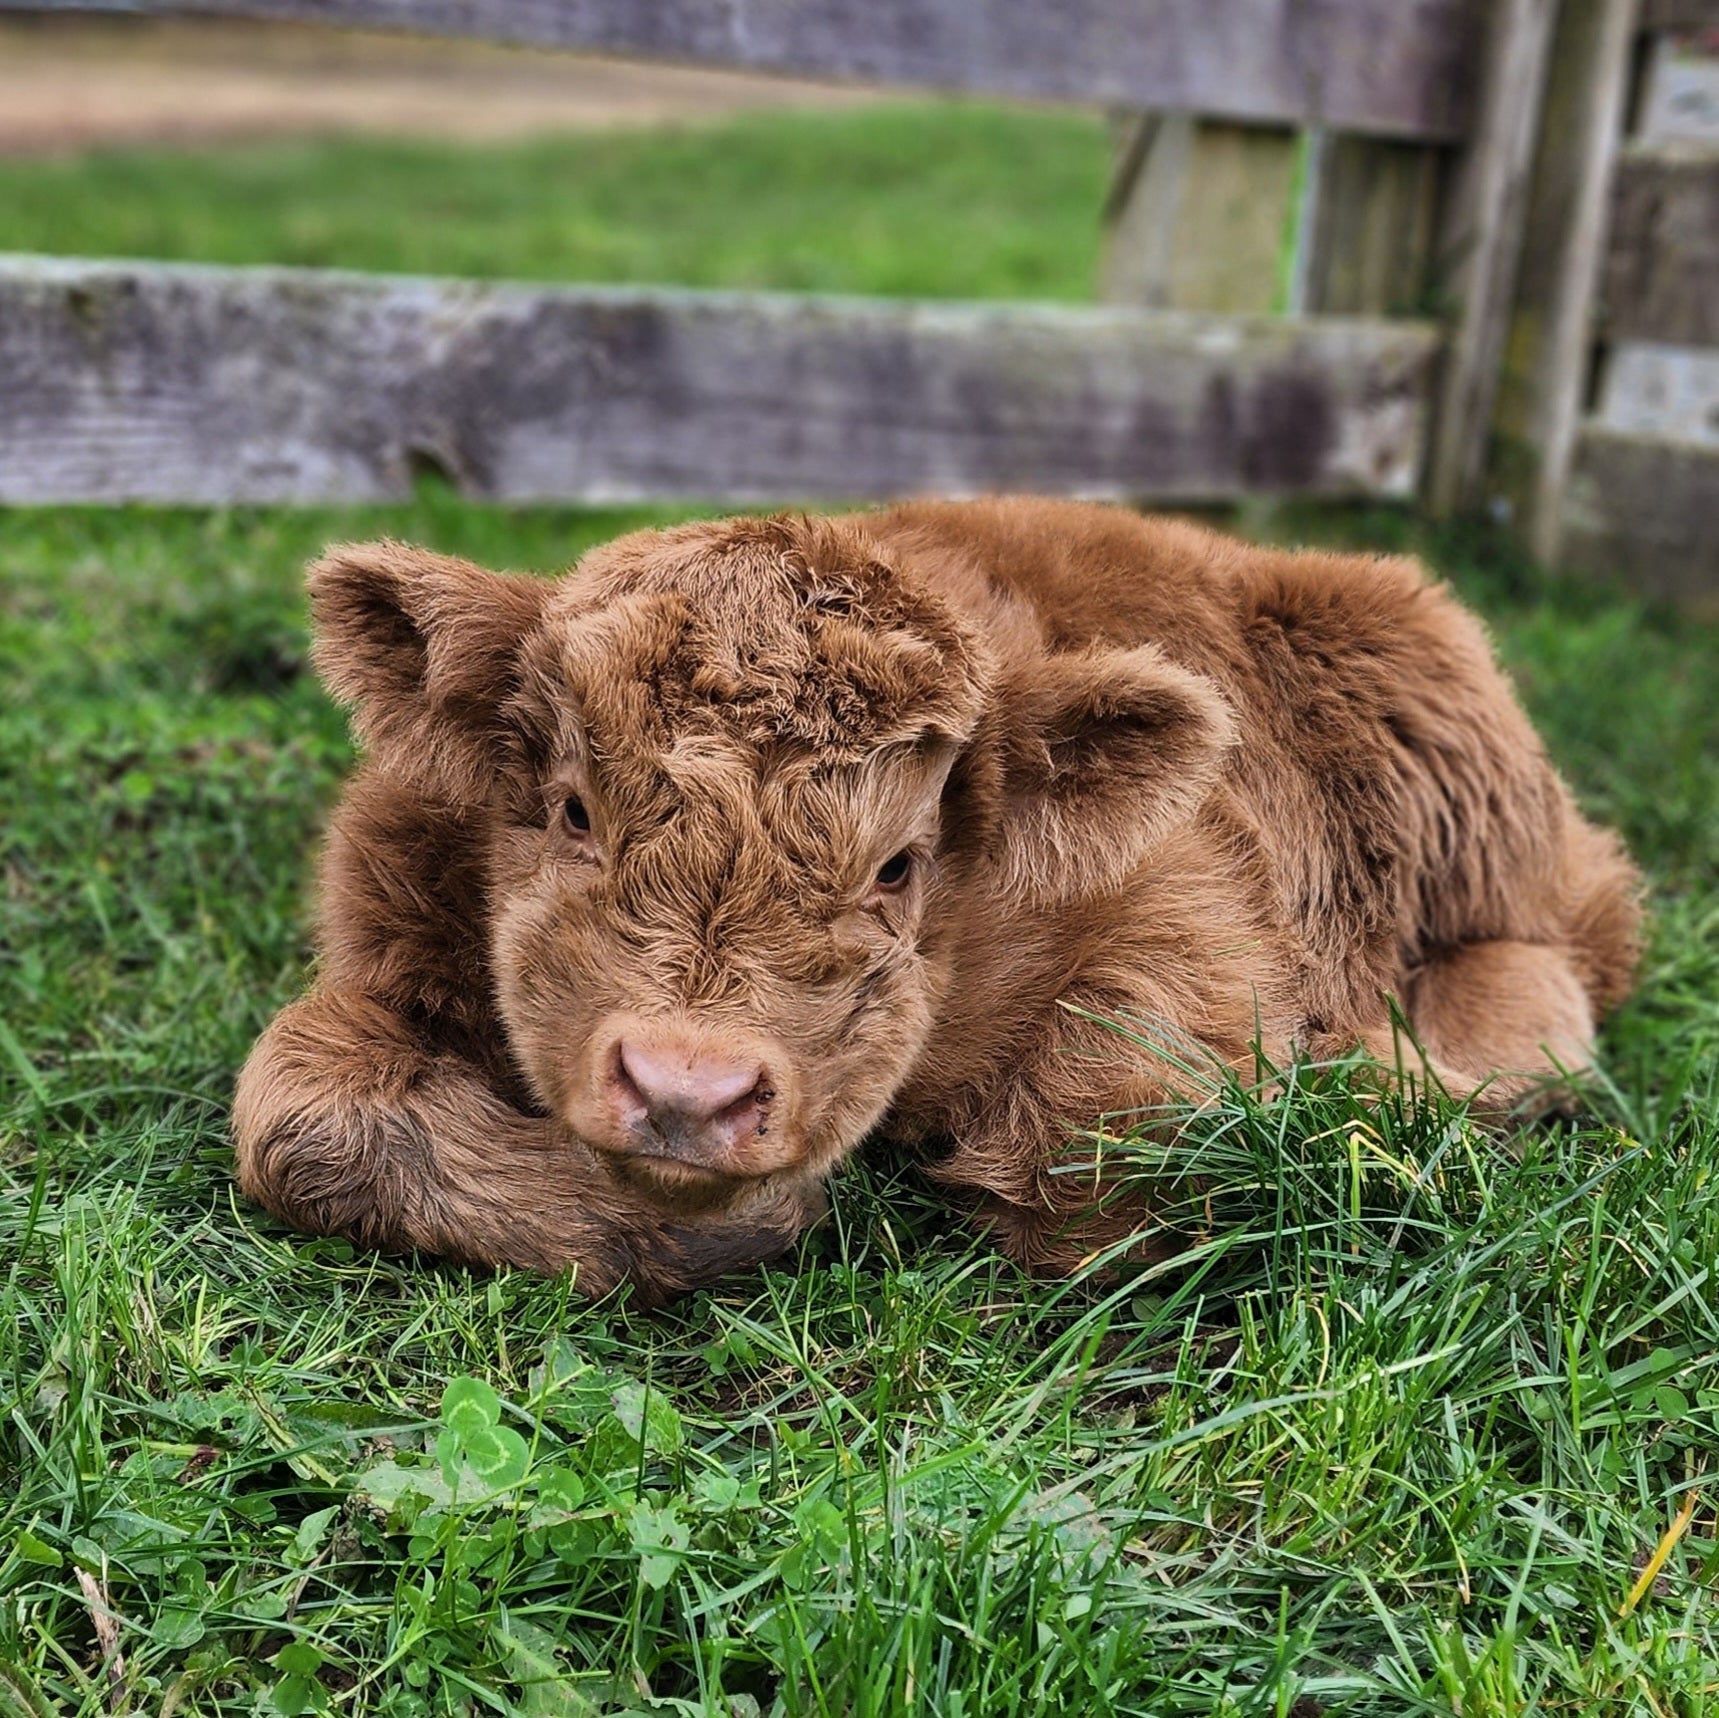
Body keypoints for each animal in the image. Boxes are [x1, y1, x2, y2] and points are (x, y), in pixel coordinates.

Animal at [233, 499, 1643, 1300]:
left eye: (899, 865)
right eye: (576, 811)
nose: (689, 1087)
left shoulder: (1189, 907)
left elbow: (1106, 1138)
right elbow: (299, 1114)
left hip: (1497, 841)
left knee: (1544, 985)